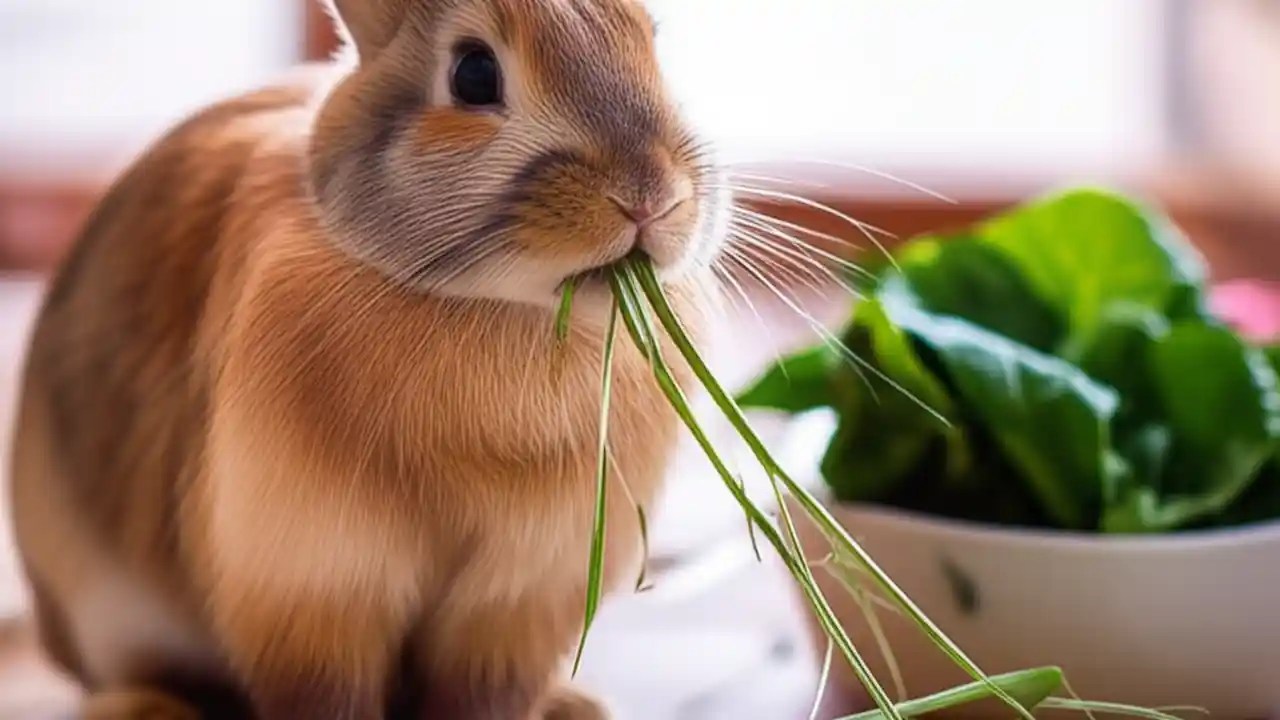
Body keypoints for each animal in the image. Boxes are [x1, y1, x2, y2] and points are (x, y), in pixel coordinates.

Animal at [8, 0, 730, 718]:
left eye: (651, 43)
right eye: (473, 75)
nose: (649, 197)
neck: (490, 302)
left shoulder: (518, 601)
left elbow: (483, 694)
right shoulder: (313, 585)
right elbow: (329, 692)